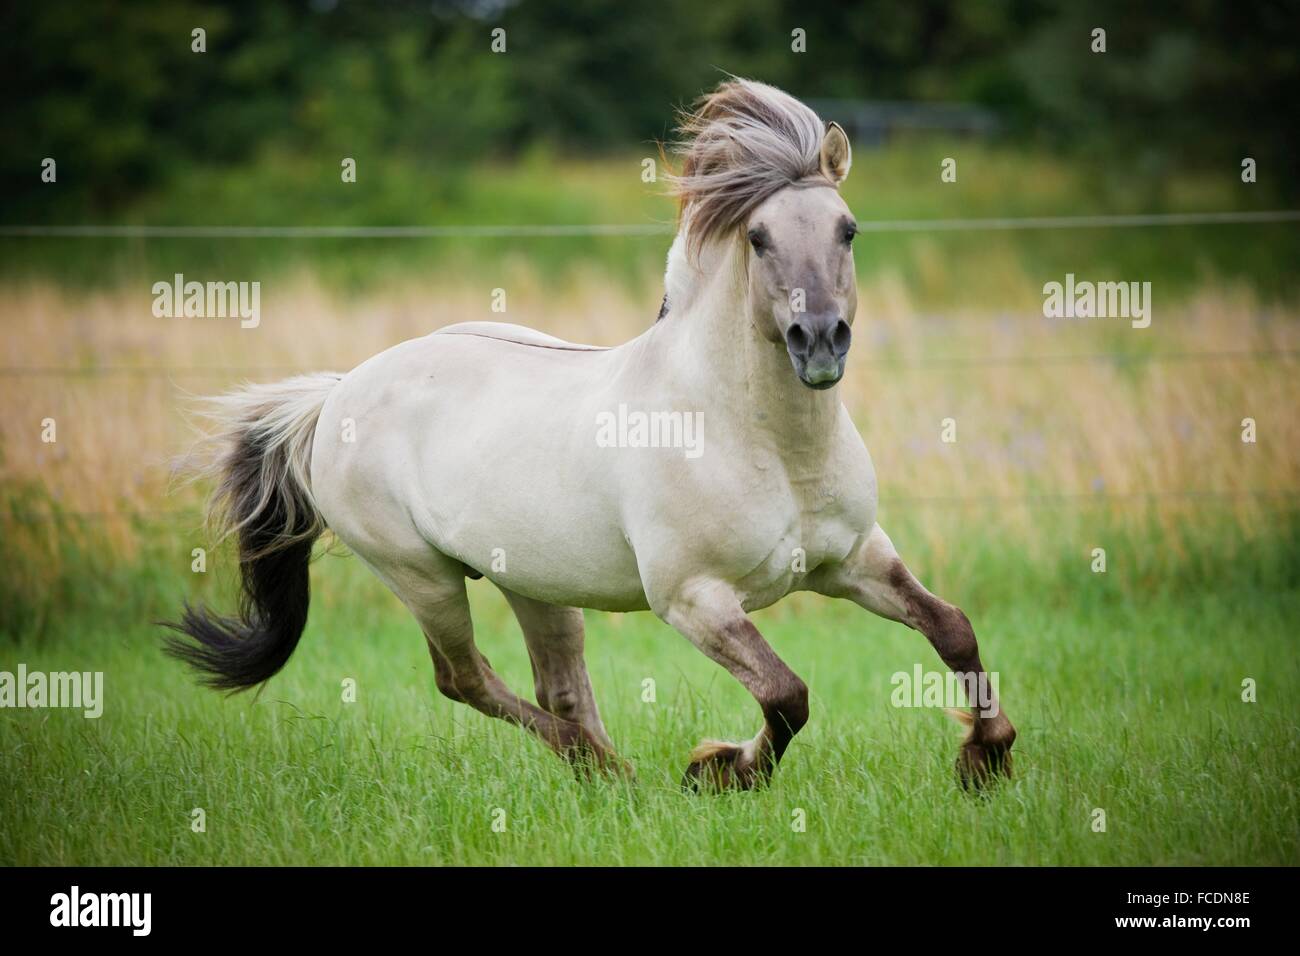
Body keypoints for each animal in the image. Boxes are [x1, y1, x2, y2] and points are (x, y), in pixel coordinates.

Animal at [163, 78, 1016, 791]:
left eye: (848, 229)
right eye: (758, 239)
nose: (819, 343)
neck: (768, 446)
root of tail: (336, 393)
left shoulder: (854, 560)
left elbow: (952, 628)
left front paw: (988, 756)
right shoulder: (694, 599)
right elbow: (787, 695)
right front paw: (720, 770)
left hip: (529, 579)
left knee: (559, 686)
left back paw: (610, 777)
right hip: (420, 574)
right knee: (465, 679)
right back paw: (612, 773)